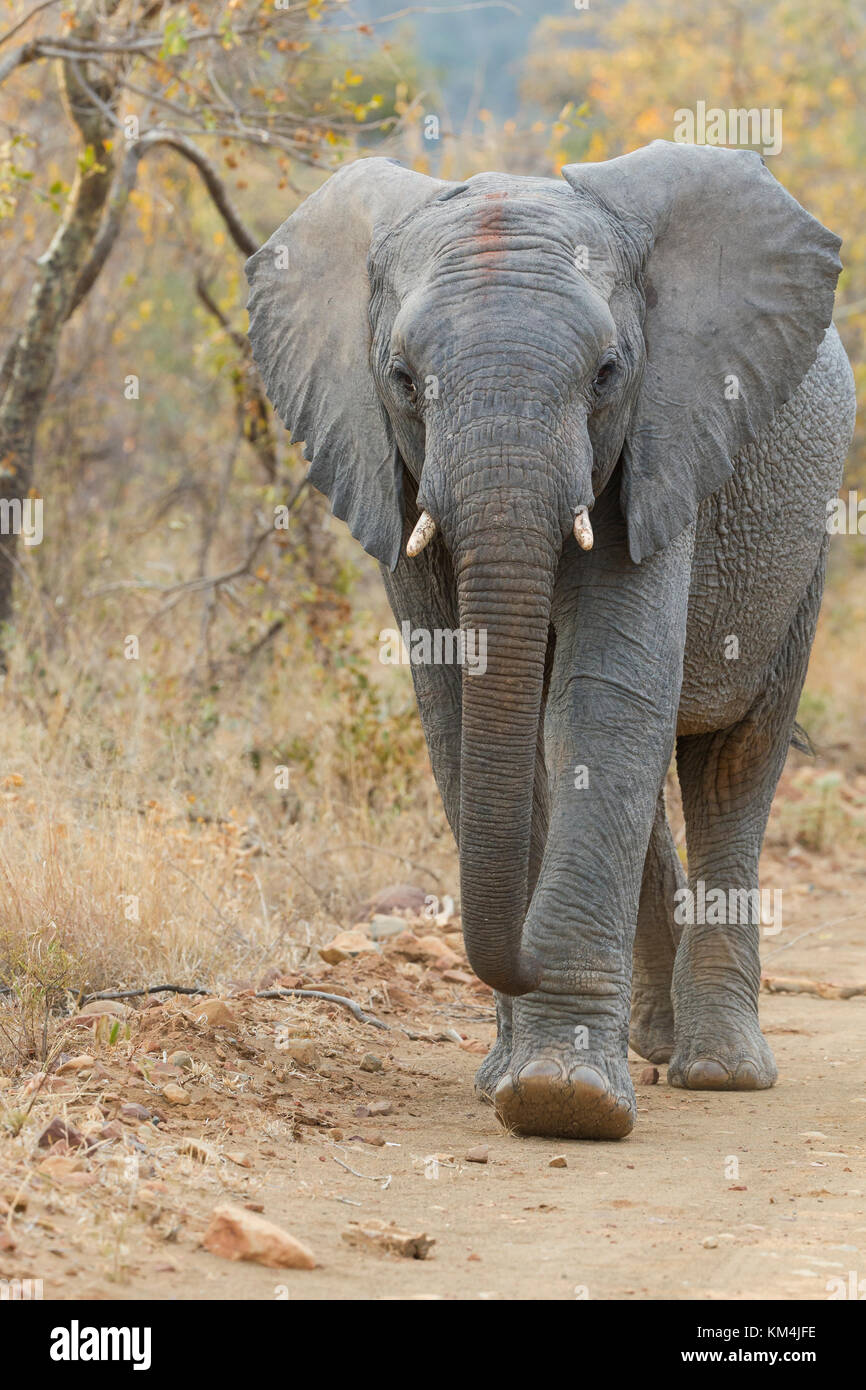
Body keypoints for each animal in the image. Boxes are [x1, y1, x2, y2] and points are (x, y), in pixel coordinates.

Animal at [244, 141, 856, 1141]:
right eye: (402, 378)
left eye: (608, 371)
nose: (522, 957)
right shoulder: (395, 470)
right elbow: (464, 710)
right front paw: (513, 1081)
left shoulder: (663, 437)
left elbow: (606, 696)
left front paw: (562, 1098)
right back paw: (652, 1046)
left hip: (807, 535)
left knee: (734, 757)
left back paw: (719, 1071)